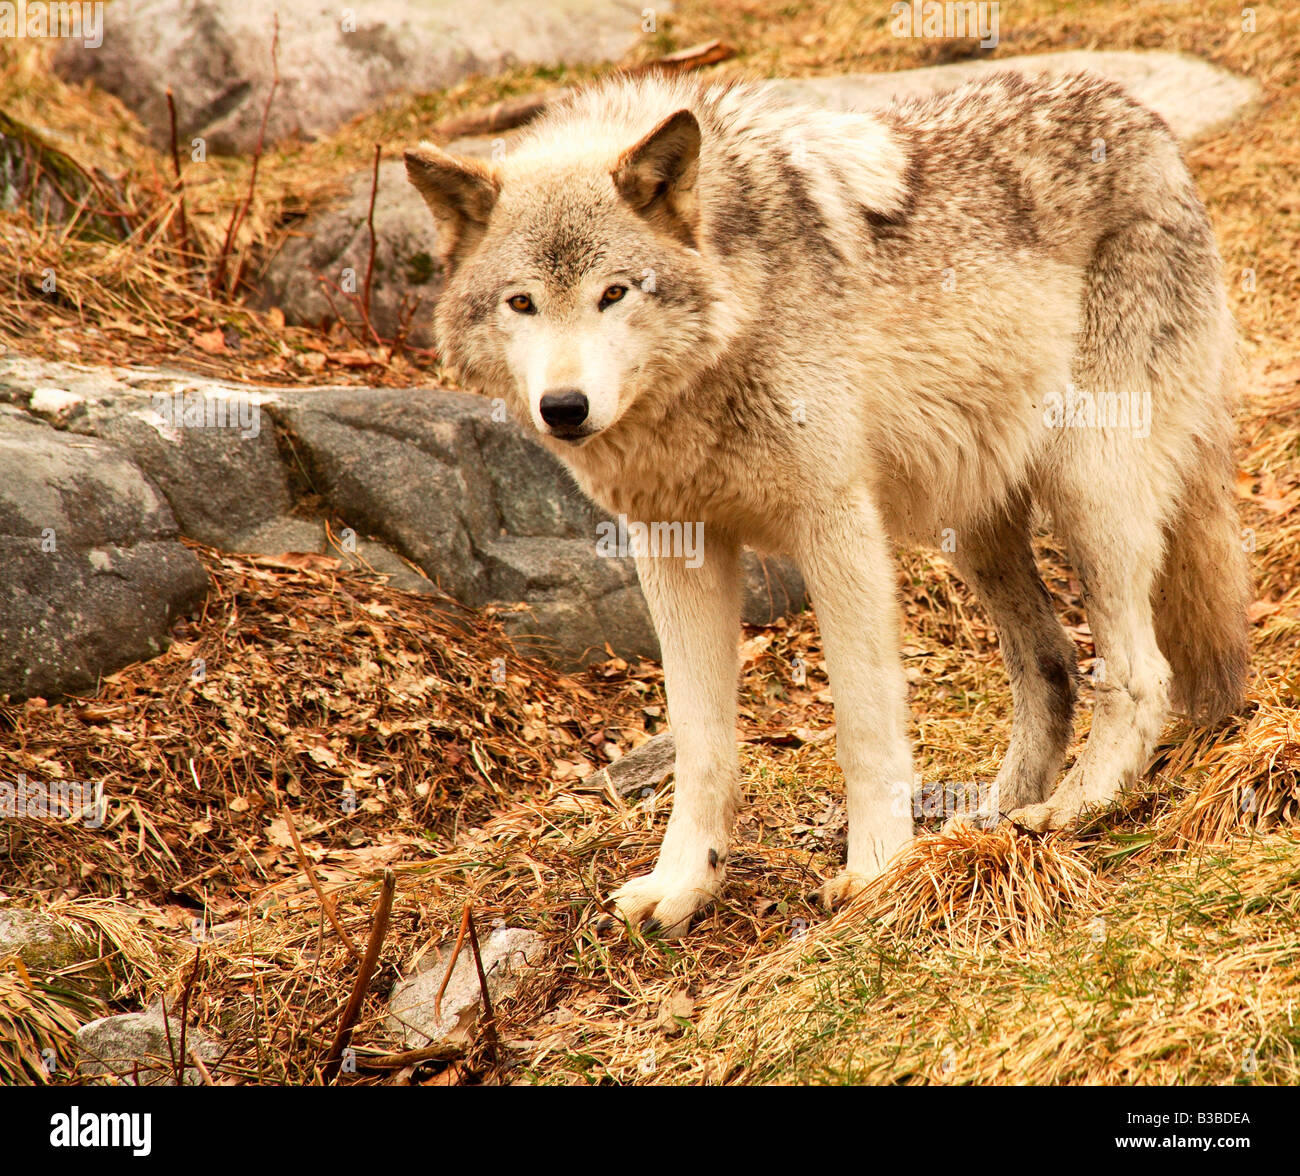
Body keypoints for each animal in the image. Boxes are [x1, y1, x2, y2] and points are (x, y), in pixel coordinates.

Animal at [406, 69, 1250, 936]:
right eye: (521, 303)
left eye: (615, 293)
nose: (564, 408)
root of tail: (1142, 118)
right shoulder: (675, 548)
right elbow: (700, 741)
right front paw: (684, 883)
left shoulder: (837, 526)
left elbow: (864, 722)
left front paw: (875, 870)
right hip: (974, 528)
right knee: (1050, 667)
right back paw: (987, 822)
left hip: (1088, 488)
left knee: (1140, 672)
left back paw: (1076, 809)